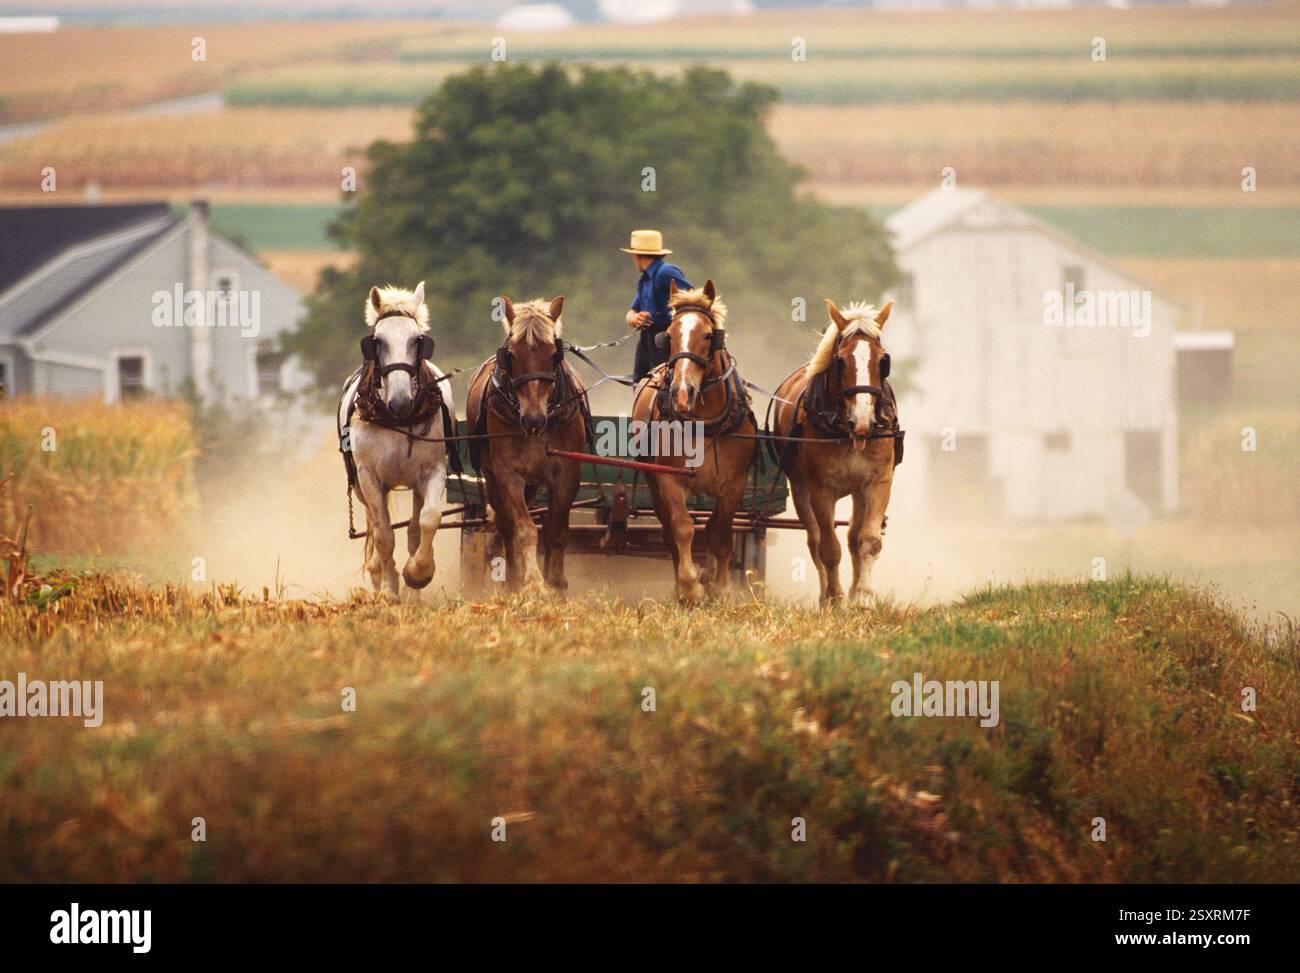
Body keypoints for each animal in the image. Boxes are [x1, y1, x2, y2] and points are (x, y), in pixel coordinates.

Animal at [337, 282, 455, 599]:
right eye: (377, 341)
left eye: (417, 340)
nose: (400, 402)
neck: (398, 419)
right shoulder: (369, 476)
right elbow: (384, 534)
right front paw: (389, 589)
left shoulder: (433, 471)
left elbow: (428, 520)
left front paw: (417, 573)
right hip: (361, 486)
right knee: (374, 525)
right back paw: (379, 576)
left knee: (414, 528)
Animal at [465, 296, 590, 593]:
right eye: (511, 355)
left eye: (555, 354)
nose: (533, 418)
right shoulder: (508, 474)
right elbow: (525, 528)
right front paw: (533, 583)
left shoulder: (568, 473)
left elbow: (557, 531)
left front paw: (556, 582)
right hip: (495, 478)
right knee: (506, 525)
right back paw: (513, 578)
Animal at [631, 280, 757, 604]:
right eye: (670, 334)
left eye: (708, 335)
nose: (681, 392)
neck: (705, 424)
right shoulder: (669, 480)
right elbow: (683, 527)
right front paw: (689, 587)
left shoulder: (734, 484)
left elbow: (721, 533)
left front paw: (719, 588)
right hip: (652, 480)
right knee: (668, 530)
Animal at [770, 299, 902, 606]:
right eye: (840, 361)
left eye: (883, 360)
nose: (863, 422)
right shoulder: (821, 490)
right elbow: (829, 548)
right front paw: (834, 598)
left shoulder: (878, 483)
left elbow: (868, 540)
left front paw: (863, 597)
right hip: (800, 489)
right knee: (815, 540)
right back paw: (827, 596)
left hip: (857, 491)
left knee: (853, 537)